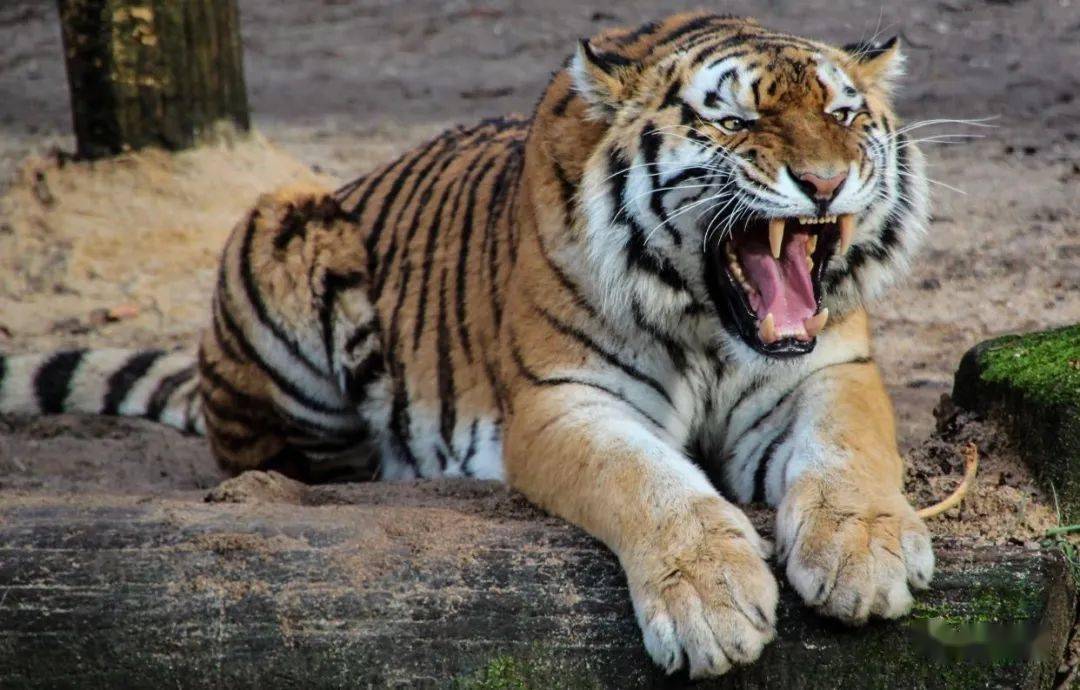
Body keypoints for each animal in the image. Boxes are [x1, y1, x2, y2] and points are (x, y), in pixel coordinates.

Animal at [0, 12, 934, 678]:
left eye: (843, 114)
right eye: (736, 121)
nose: (824, 183)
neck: (709, 324)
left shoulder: (828, 369)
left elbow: (848, 450)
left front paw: (865, 555)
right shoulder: (563, 401)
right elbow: (649, 482)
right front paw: (710, 600)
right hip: (282, 223)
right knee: (276, 459)